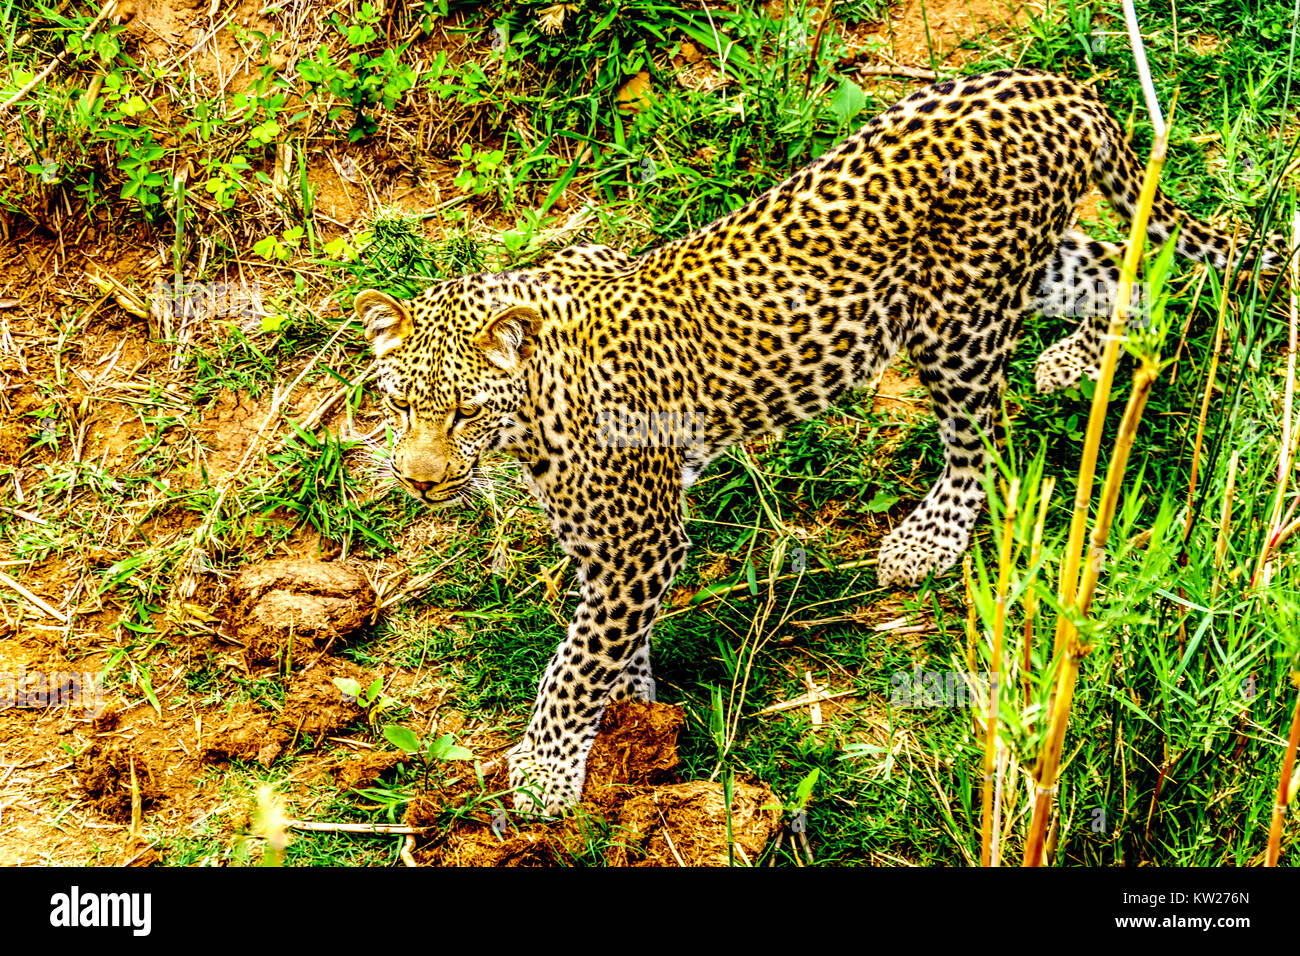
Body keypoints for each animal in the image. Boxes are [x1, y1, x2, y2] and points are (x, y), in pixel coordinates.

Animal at [353, 69, 1285, 817]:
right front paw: (635, 716)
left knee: (979, 438)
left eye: (463, 414)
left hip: (959, 318)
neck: (538, 397)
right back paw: (1084, 357)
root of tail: (1054, 85)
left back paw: (930, 537)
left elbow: (574, 665)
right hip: (1023, 267)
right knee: (1123, 274)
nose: (420, 482)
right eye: (398, 406)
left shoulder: (640, 541)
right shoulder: (611, 543)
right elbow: (610, 642)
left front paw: (548, 772)